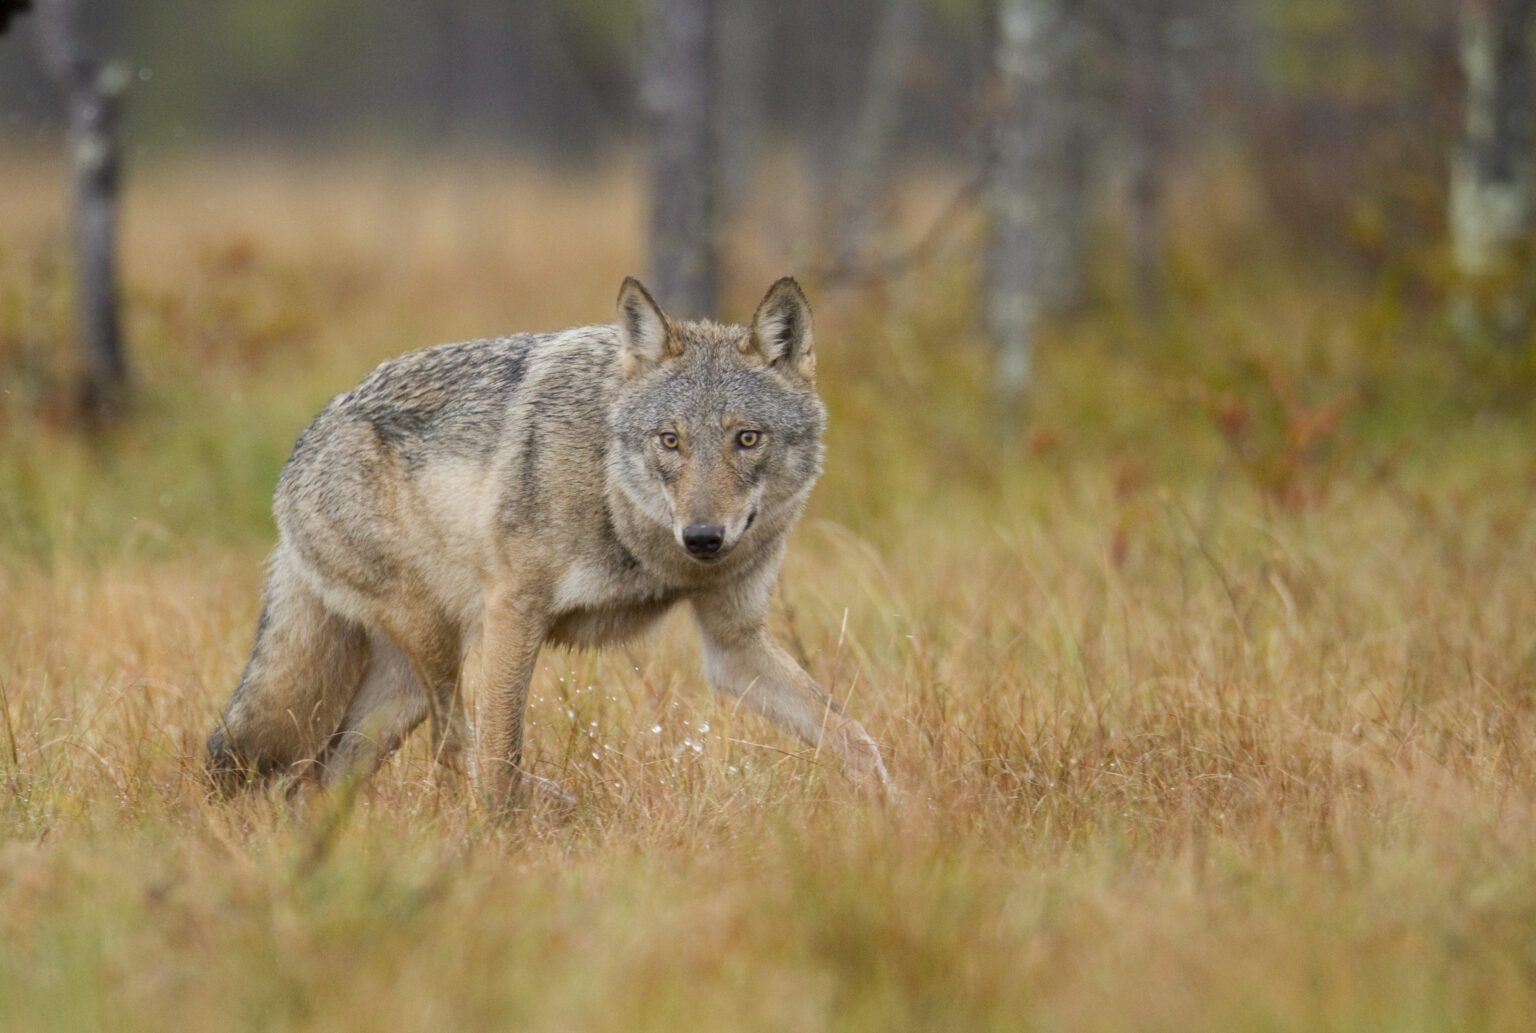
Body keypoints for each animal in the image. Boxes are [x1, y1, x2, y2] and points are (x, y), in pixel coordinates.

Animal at [206, 276, 888, 808]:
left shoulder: (734, 645)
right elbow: (499, 758)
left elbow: (859, 741)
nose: (703, 538)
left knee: (319, 779)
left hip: (402, 687)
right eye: (670, 441)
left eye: (747, 439)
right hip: (437, 646)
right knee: (452, 752)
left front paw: (897, 820)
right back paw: (555, 803)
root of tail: (308, 439)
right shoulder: (514, 612)